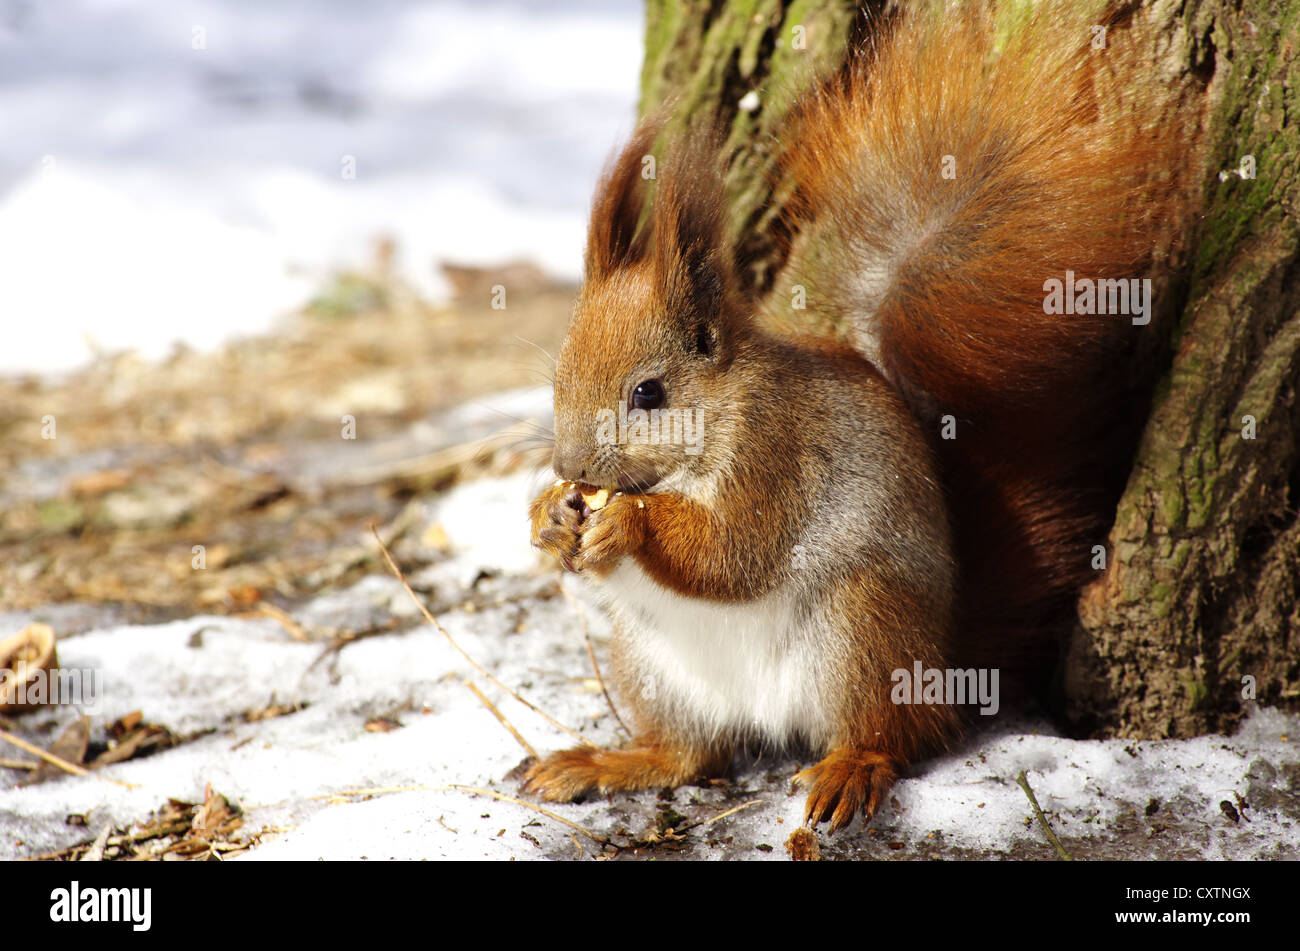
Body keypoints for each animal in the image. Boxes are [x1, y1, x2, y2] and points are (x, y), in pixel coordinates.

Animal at [523, 2, 1188, 832]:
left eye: (649, 393)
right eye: (558, 377)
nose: (572, 467)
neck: (707, 429)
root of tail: (944, 659)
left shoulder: (776, 453)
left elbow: (733, 551)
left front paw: (627, 522)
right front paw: (548, 517)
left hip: (863, 627)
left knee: (893, 732)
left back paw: (851, 766)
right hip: (656, 667)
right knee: (688, 754)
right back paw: (607, 760)